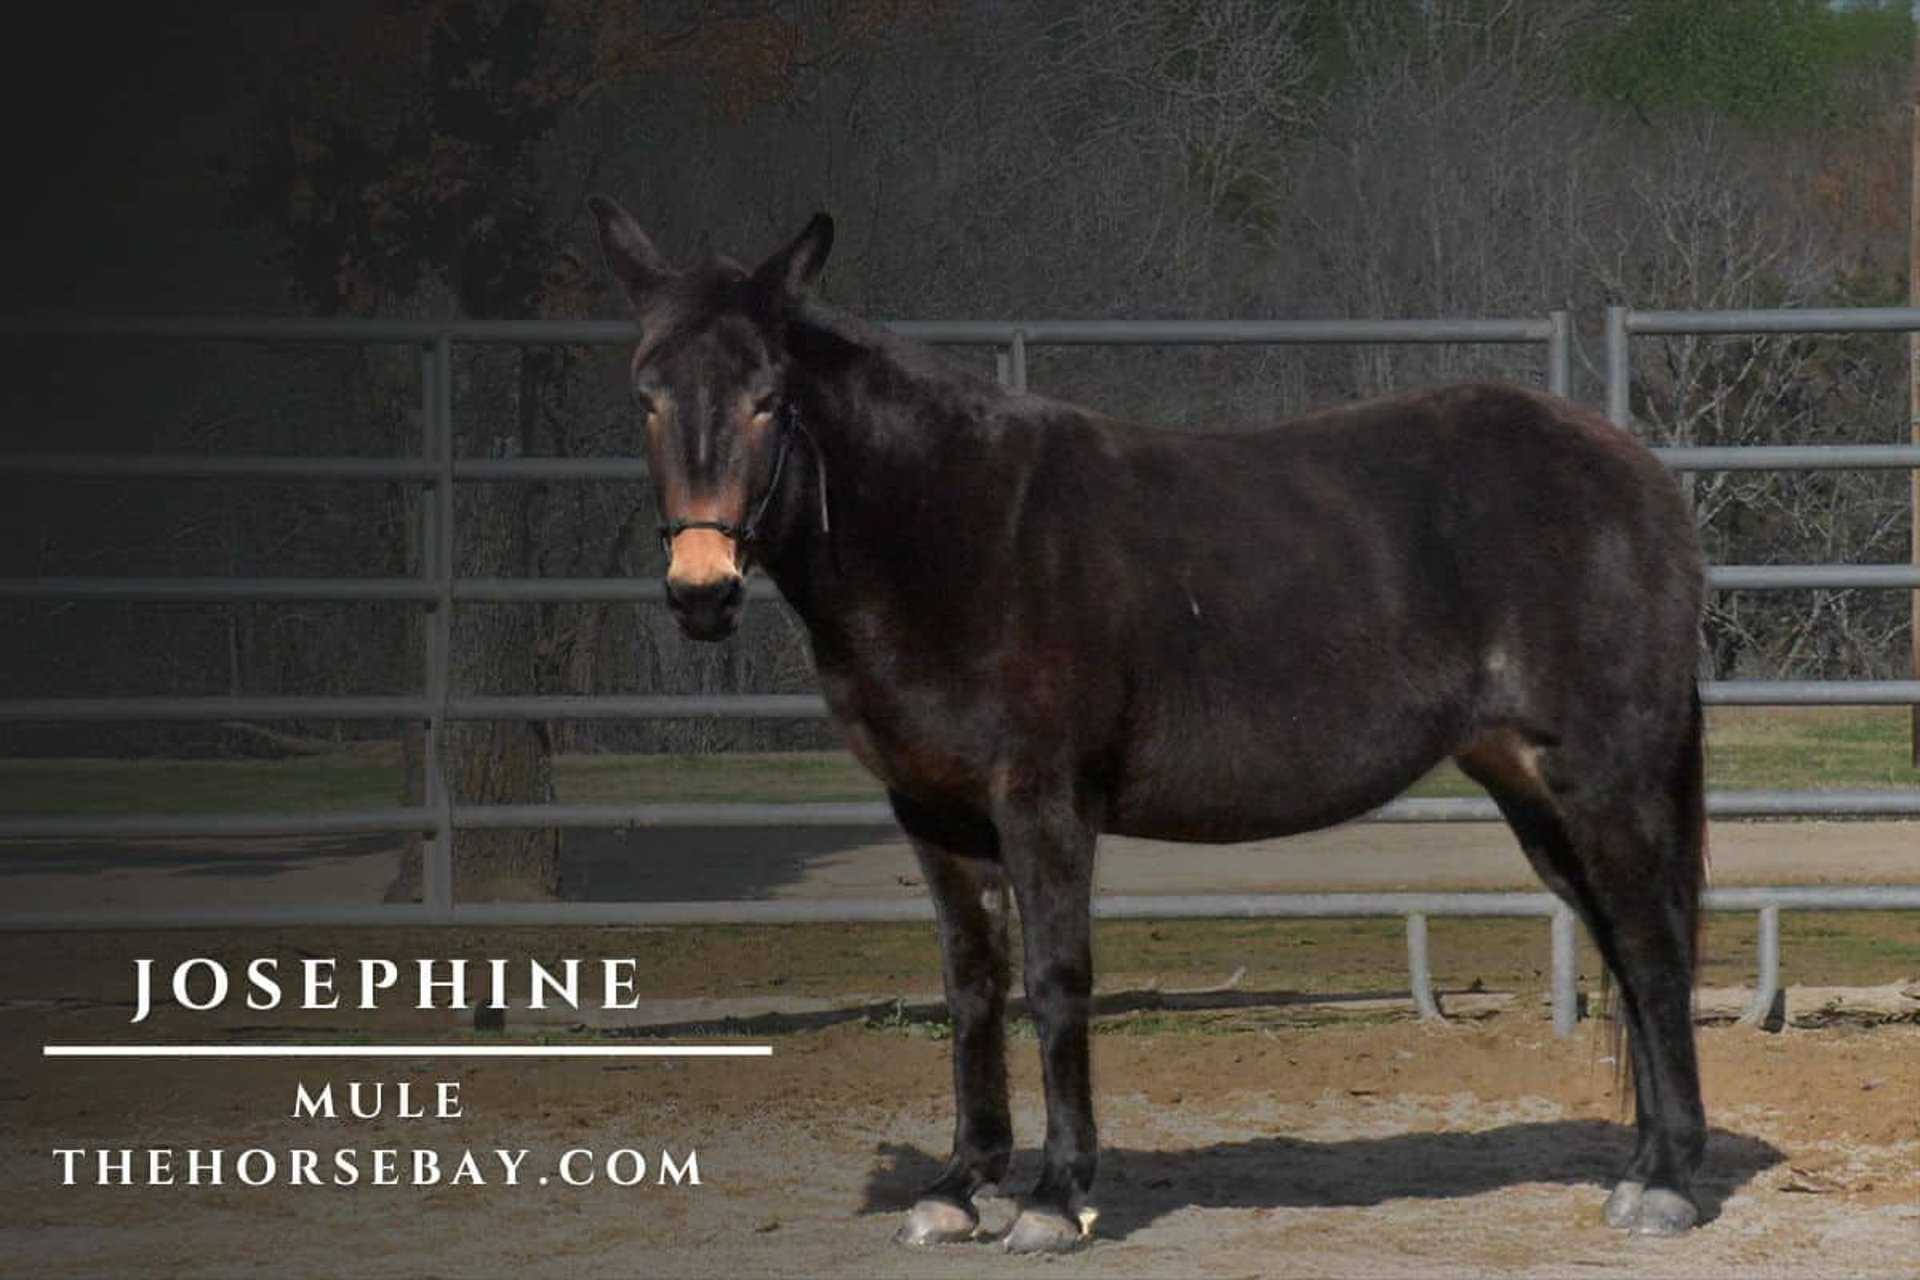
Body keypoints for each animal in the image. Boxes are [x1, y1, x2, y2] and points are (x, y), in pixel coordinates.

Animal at [586, 196, 1709, 1252]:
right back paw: (1644, 1166)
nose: (701, 591)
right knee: (1622, 947)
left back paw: (1667, 1183)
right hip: (1528, 783)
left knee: (1652, 948)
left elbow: (1055, 980)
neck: (957, 532)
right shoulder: (934, 810)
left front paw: (1053, 1198)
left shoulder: (1043, 799)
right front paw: (957, 1188)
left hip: (1601, 774)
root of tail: (1636, 472)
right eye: (644, 396)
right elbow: (971, 986)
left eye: (768, 398)